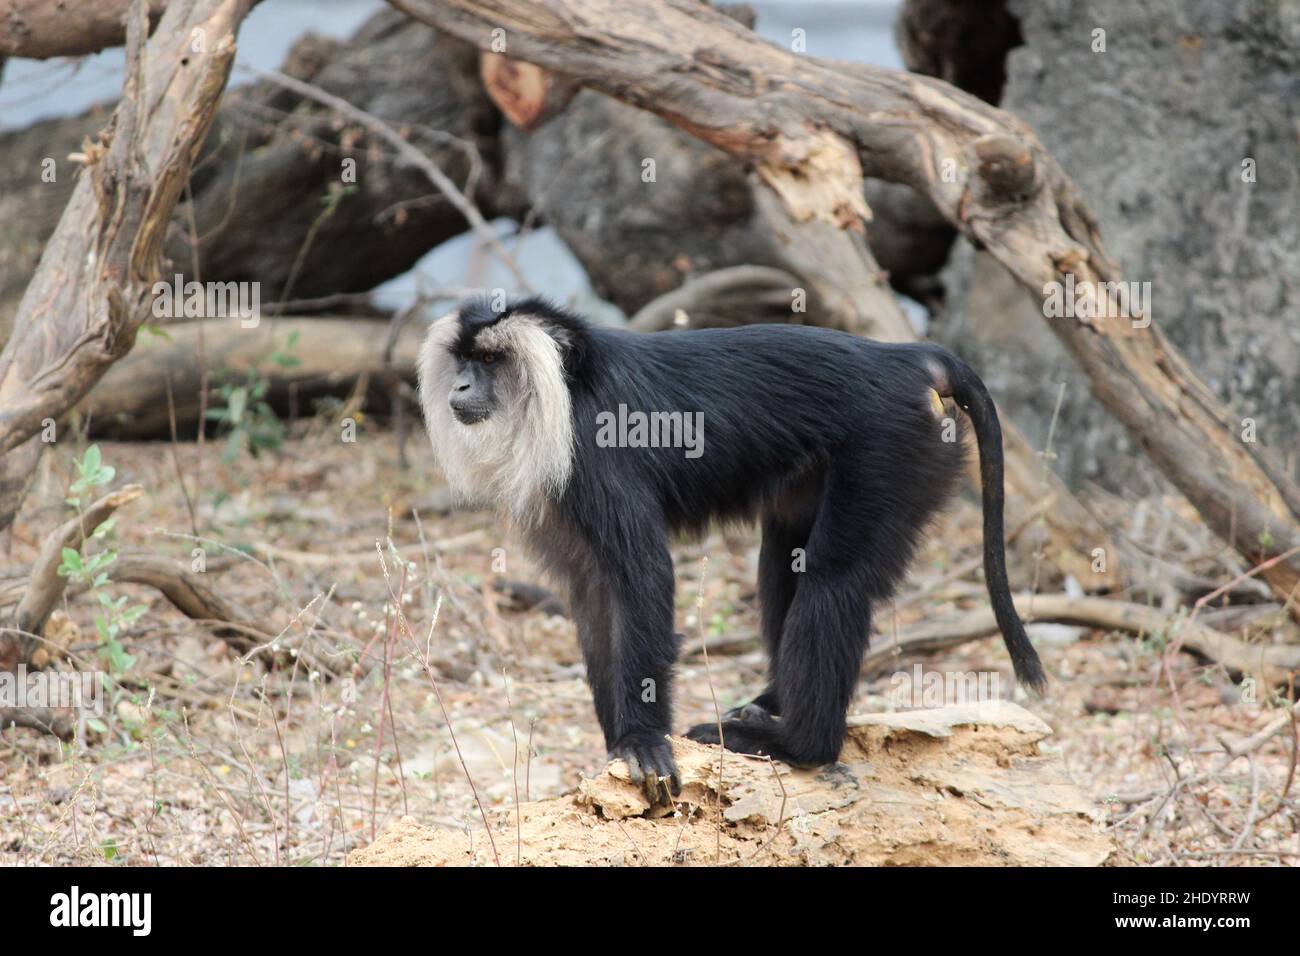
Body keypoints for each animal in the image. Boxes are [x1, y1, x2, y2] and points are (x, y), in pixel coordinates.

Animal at [418, 295, 1046, 804]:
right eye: (465, 360)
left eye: (492, 362)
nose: (460, 388)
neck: (572, 386)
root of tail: (906, 358)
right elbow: (595, 594)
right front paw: (619, 744)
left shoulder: (598, 451)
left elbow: (641, 581)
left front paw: (643, 742)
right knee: (785, 560)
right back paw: (776, 704)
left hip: (892, 444)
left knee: (834, 577)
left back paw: (801, 745)